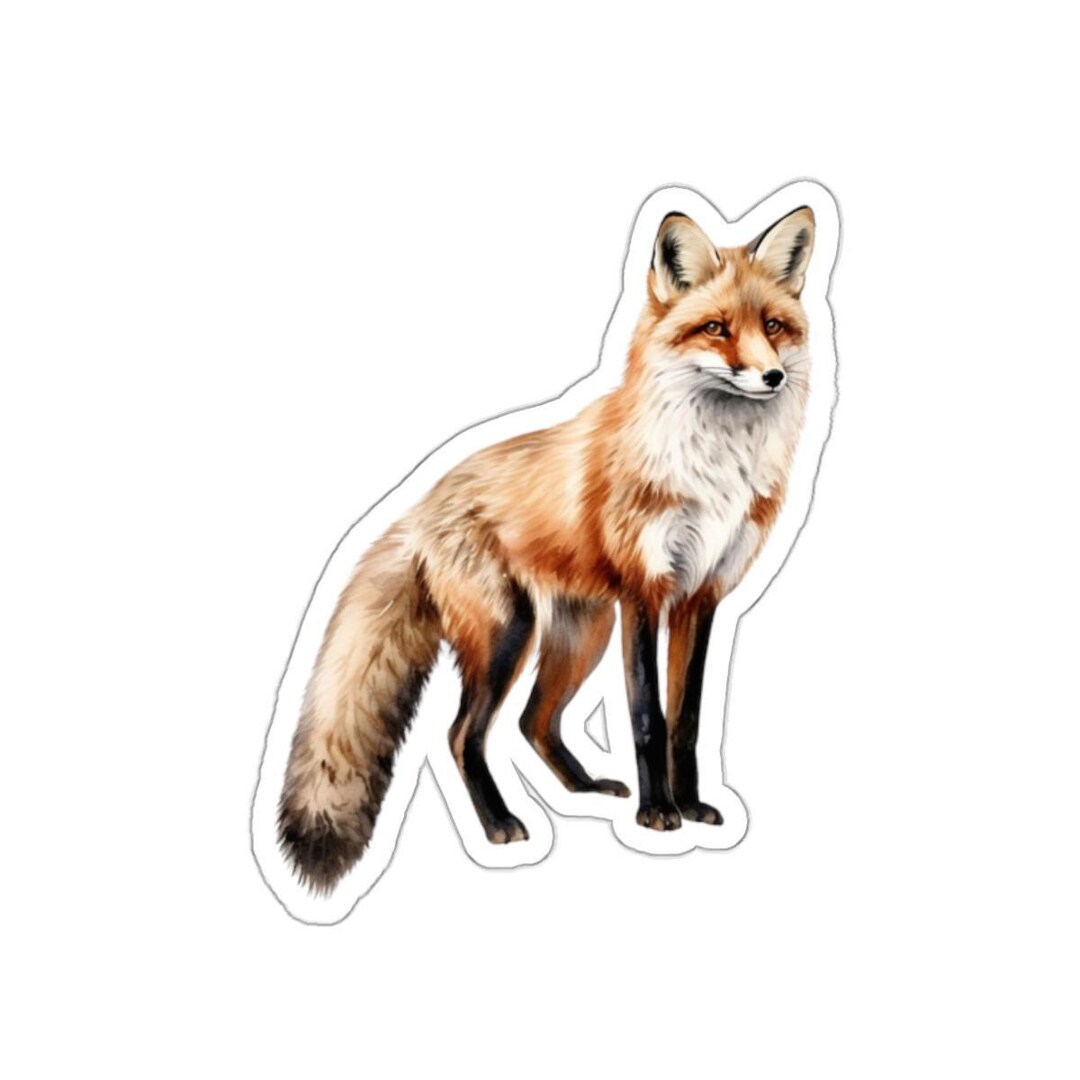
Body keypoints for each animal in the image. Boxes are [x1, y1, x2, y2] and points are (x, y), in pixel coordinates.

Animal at [277, 204, 817, 894]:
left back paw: (583, 787)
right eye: (717, 329)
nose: (772, 375)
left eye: (773, 326)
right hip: (509, 634)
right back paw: (501, 824)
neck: (712, 470)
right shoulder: (644, 592)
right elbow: (648, 718)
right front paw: (658, 813)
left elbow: (687, 720)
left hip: (581, 633)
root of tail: (421, 504)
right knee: (462, 735)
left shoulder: (701, 596)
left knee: (534, 720)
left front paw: (691, 804)